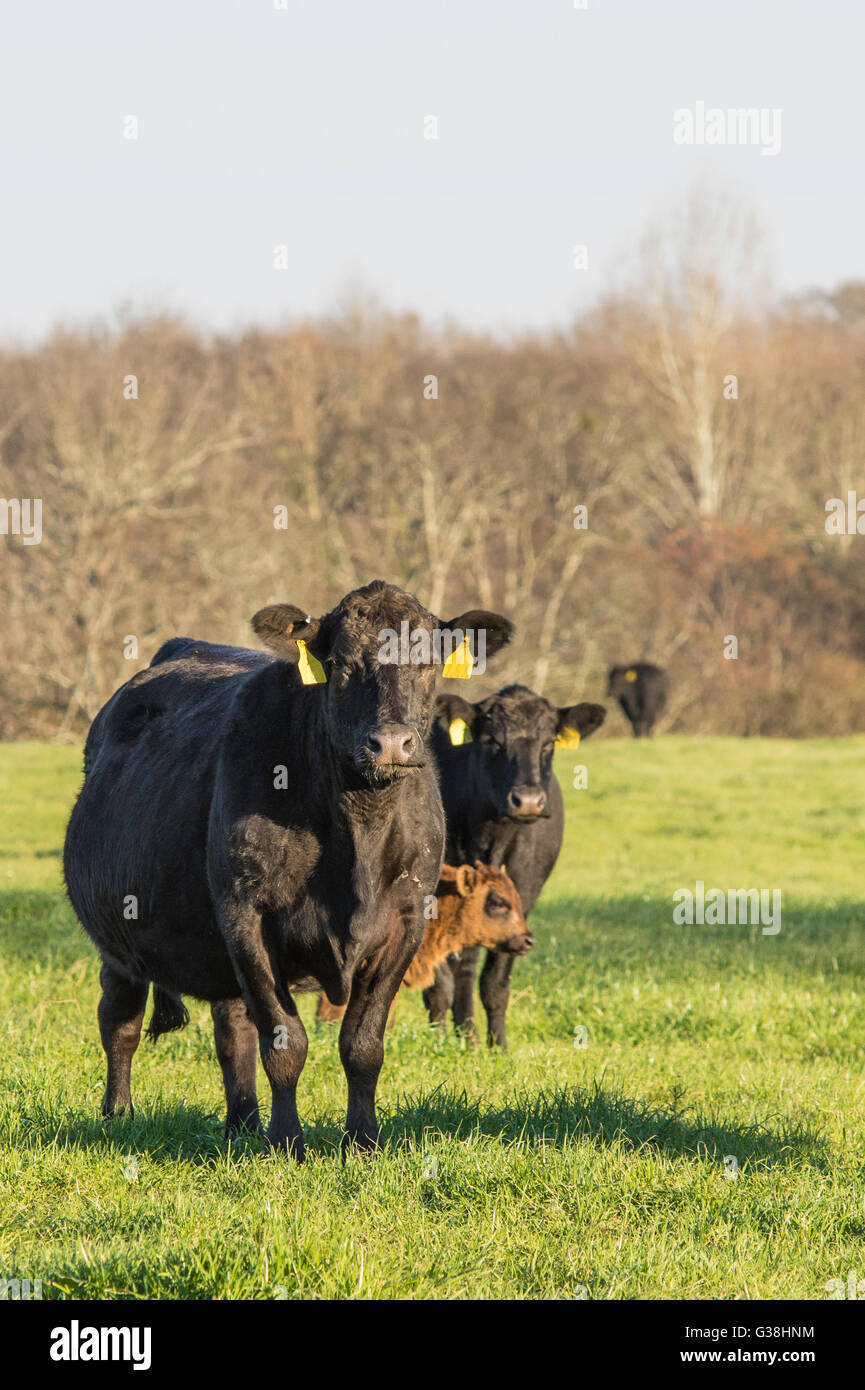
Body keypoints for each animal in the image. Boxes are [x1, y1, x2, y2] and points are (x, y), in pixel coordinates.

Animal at [63, 581, 512, 1160]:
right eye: (340, 663)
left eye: (429, 663)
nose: (390, 744)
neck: (359, 834)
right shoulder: (247, 917)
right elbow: (285, 1043)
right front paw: (286, 1143)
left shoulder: (406, 923)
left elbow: (362, 1044)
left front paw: (362, 1140)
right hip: (119, 939)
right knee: (120, 1019)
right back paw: (120, 1113)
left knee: (231, 1030)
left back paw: (241, 1124)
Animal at [424, 684, 606, 1047]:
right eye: (492, 741)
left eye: (549, 743)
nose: (529, 802)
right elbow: (439, 982)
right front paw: (437, 1041)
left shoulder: (522, 896)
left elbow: (495, 981)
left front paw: (499, 1046)